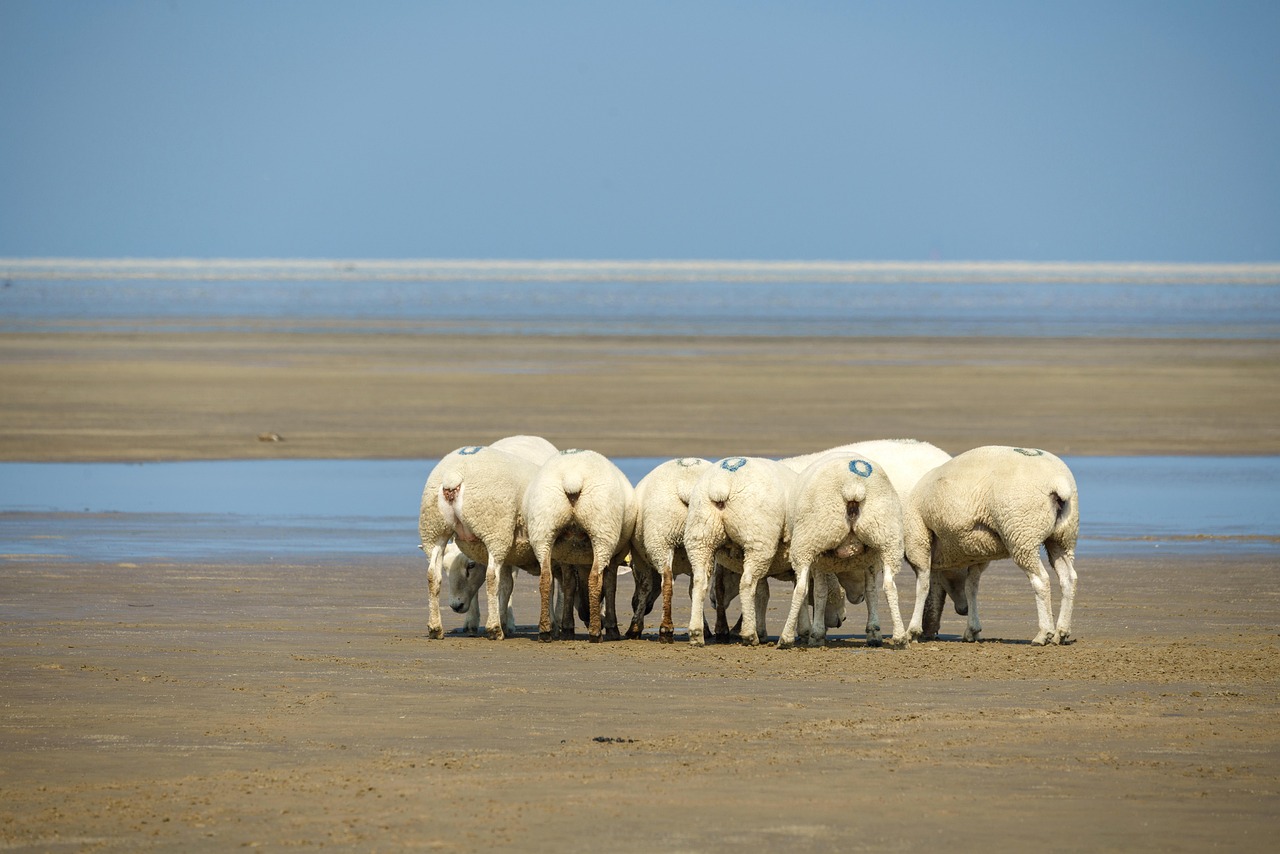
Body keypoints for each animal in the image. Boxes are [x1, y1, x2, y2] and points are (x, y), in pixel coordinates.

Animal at [523, 449, 638, 643]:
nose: (585, 613)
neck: (581, 562)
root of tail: (573, 477)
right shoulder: (615, 558)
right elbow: (610, 586)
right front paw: (612, 628)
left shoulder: (565, 557)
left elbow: (568, 586)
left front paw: (568, 628)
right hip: (602, 530)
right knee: (595, 579)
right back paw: (595, 633)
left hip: (543, 526)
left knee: (545, 579)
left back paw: (545, 632)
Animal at [778, 453, 908, 649]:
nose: (858, 598)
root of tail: (853, 485)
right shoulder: (869, 559)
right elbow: (871, 591)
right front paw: (874, 632)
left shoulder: (820, 559)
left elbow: (820, 592)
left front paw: (816, 634)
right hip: (887, 536)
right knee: (890, 586)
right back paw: (900, 637)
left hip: (809, 540)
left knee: (801, 589)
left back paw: (785, 638)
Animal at [902, 445, 1079, 645]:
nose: (962, 610)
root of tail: (1059, 483)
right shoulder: (976, 554)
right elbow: (971, 588)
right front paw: (972, 630)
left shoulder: (917, 538)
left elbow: (923, 585)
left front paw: (913, 631)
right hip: (1062, 537)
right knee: (1068, 578)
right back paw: (1061, 633)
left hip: (1022, 533)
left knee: (1041, 581)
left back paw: (1043, 634)